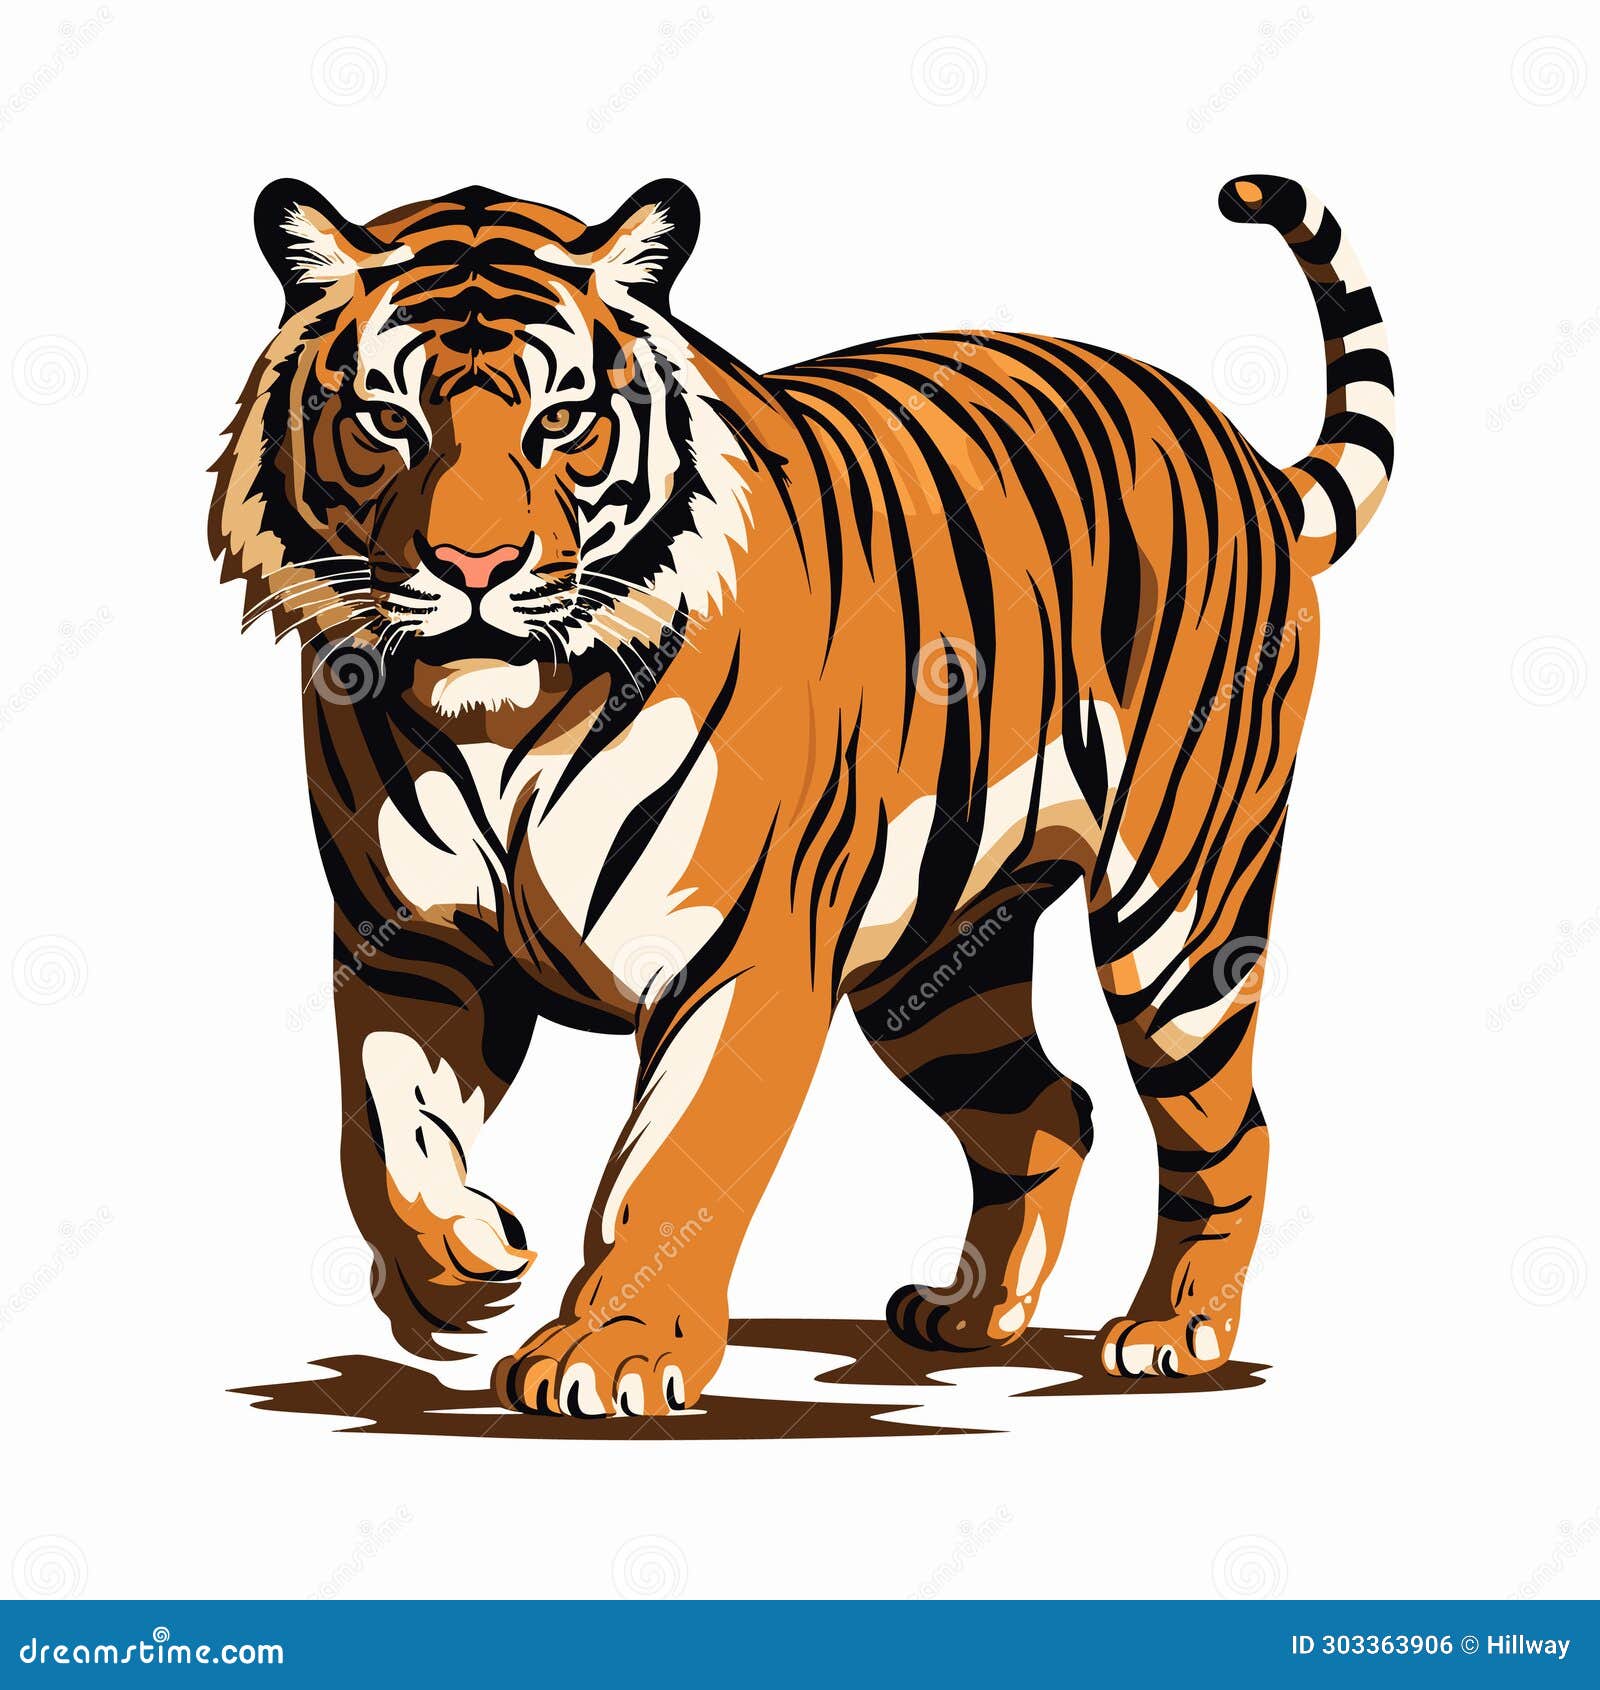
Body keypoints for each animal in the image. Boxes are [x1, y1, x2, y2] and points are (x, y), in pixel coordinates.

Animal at [210, 171, 1392, 1416]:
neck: (499, 723)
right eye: (388, 419)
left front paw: (613, 1352)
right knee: (1046, 1108)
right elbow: (383, 1134)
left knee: (1226, 1125)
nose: (473, 568)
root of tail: (1250, 464)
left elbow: (674, 1158)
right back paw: (971, 1319)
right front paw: (463, 1268)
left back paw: (1174, 1330)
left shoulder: (741, 946)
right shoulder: (405, 943)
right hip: (937, 965)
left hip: (1177, 907)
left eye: (562, 421)